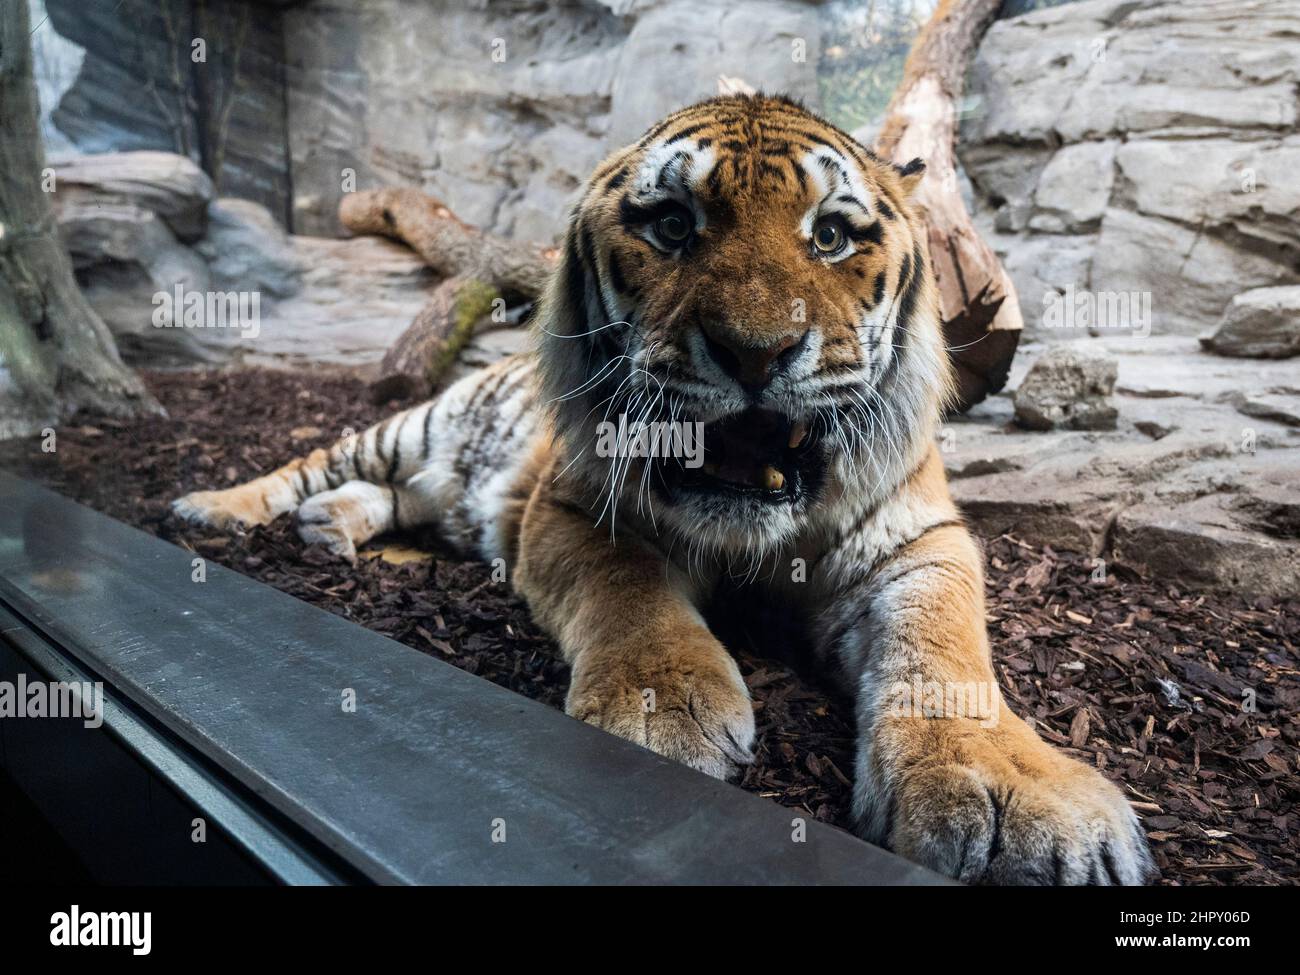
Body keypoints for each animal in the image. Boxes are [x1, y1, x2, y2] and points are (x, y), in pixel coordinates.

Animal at [173, 93, 1155, 885]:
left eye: (830, 235)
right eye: (674, 226)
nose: (756, 352)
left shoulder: (920, 541)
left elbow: (944, 651)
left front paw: (1012, 798)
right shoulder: (568, 507)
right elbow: (630, 590)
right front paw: (662, 708)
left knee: (385, 496)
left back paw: (327, 530)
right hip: (409, 428)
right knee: (315, 463)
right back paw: (217, 510)